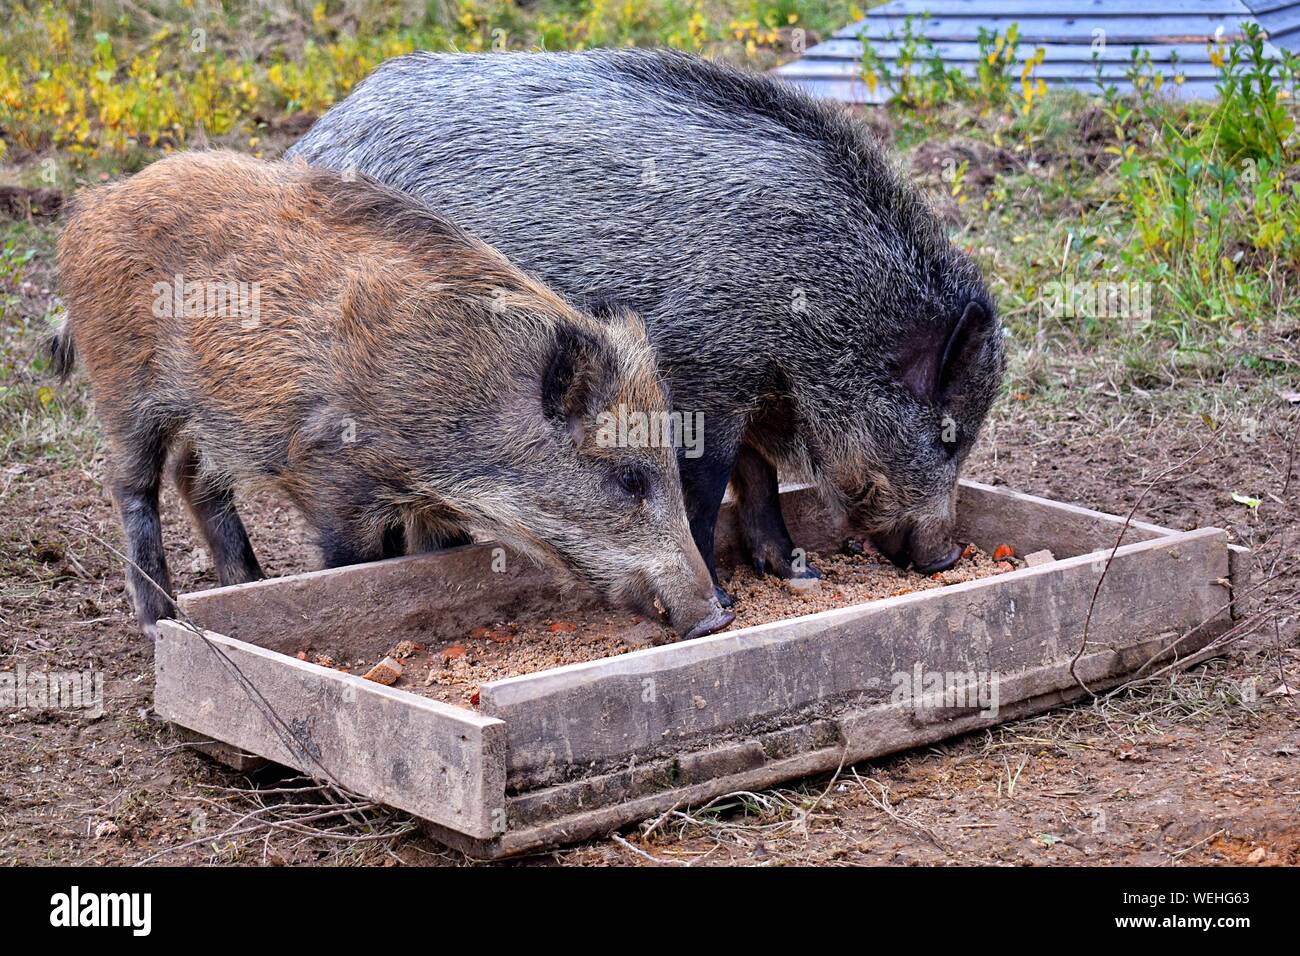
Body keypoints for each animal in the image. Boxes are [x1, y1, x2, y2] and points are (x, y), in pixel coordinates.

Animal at [51, 149, 732, 641]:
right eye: (629, 478)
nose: (716, 615)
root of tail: (93, 205)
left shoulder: (429, 504)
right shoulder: (332, 480)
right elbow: (352, 567)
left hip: (208, 413)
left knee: (195, 478)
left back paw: (245, 581)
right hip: (123, 385)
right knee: (132, 484)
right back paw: (157, 622)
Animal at [287, 49, 1007, 605]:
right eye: (948, 438)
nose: (947, 558)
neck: (814, 307)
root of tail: (312, 138)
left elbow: (759, 480)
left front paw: (799, 573)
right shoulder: (704, 378)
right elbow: (704, 490)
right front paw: (724, 598)